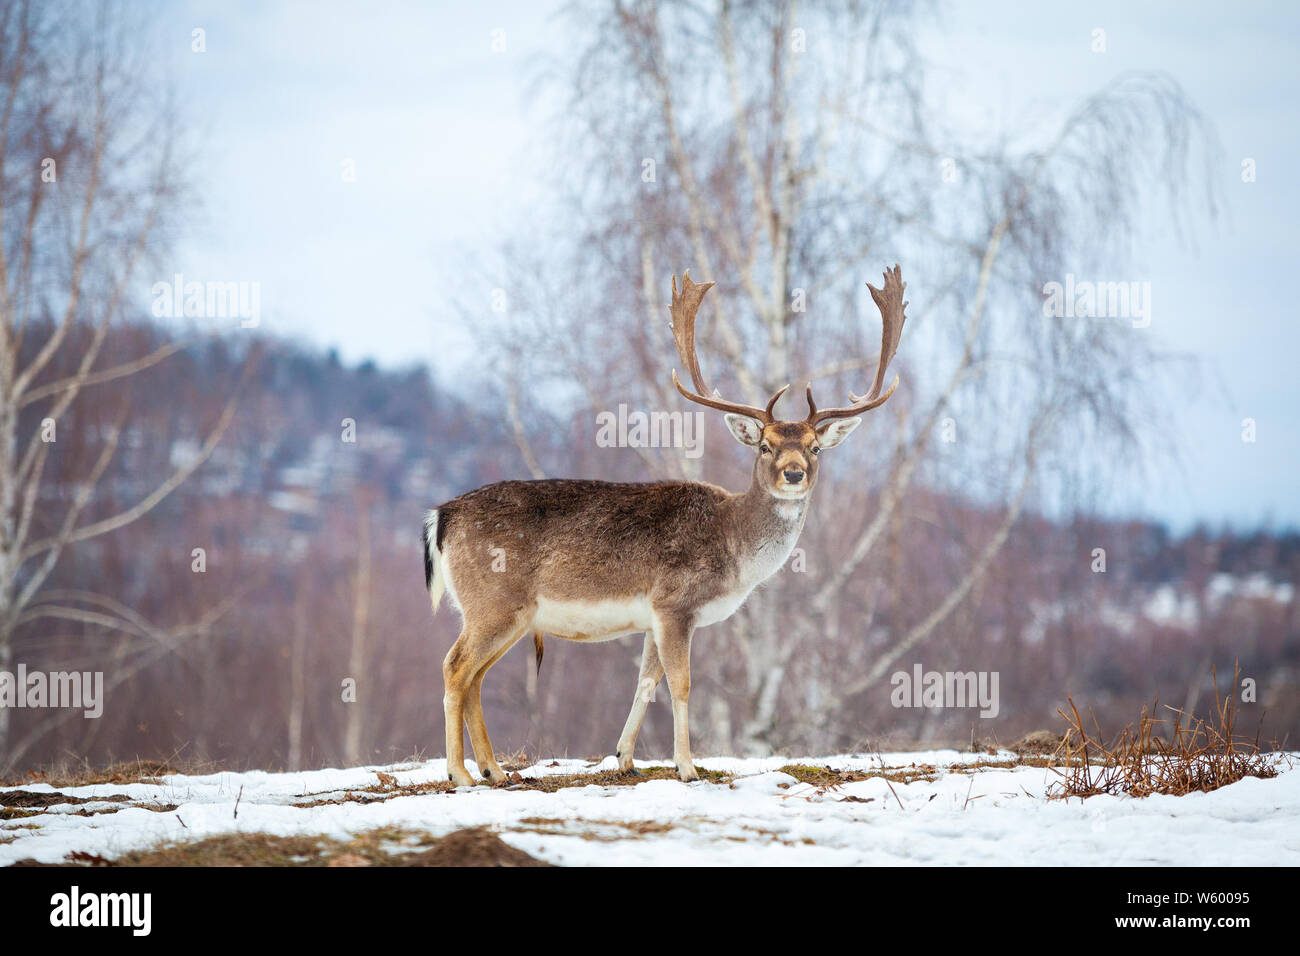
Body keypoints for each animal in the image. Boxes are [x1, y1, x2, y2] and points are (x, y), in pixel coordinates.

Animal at [424, 265, 907, 786]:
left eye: (815, 448)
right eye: (765, 446)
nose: (794, 473)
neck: (733, 551)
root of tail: (441, 516)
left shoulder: (653, 616)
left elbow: (645, 681)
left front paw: (624, 757)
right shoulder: (675, 603)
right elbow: (681, 684)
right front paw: (687, 767)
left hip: (503, 613)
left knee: (475, 676)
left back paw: (494, 770)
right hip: (493, 601)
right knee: (454, 667)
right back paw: (460, 774)